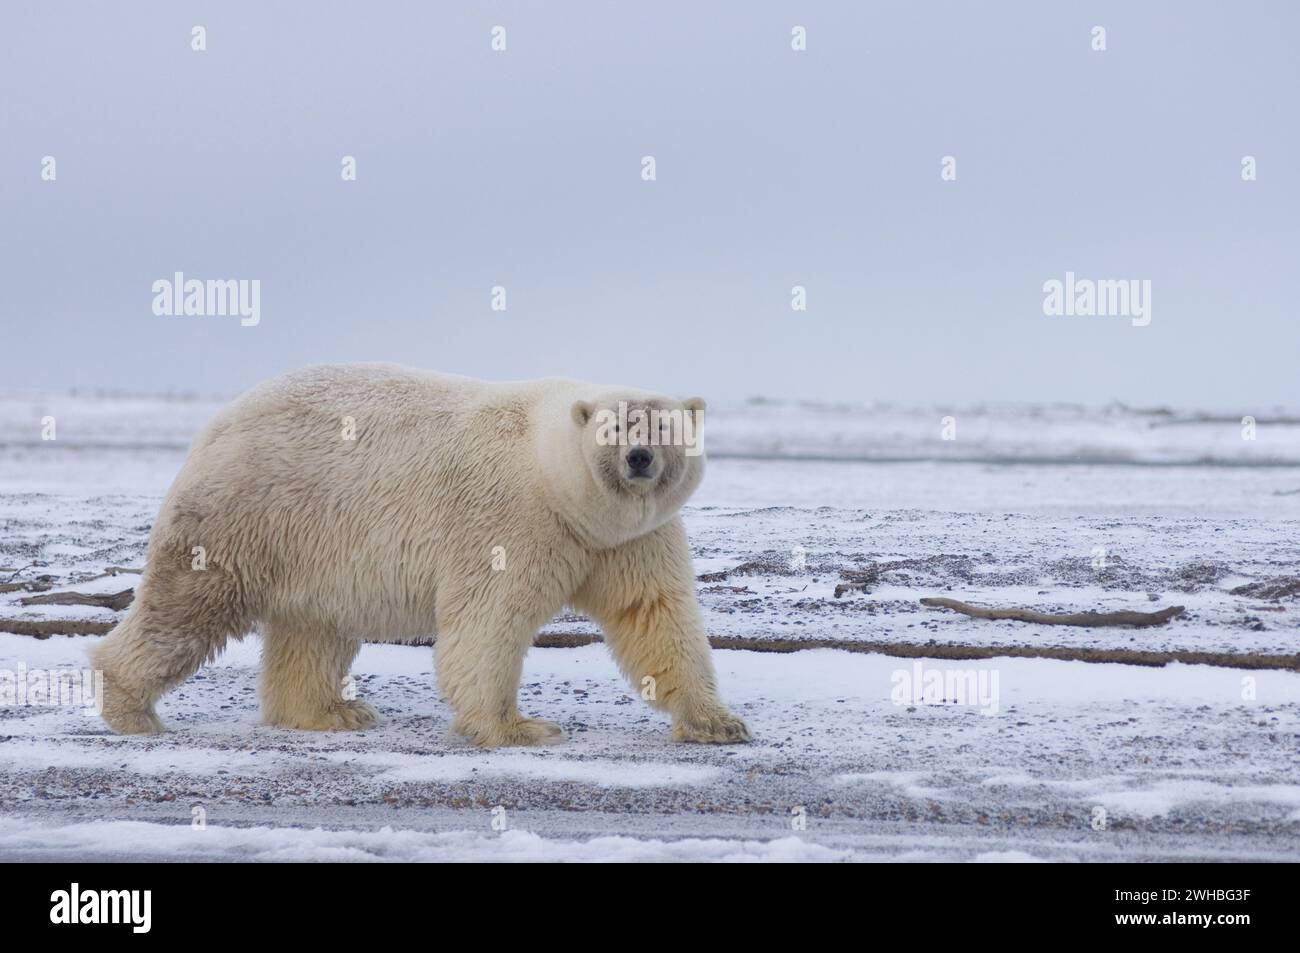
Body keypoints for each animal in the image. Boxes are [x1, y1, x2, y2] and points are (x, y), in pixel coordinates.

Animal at [90, 363, 750, 747]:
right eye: (614, 429)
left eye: (662, 428)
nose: (639, 458)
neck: (555, 479)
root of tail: (217, 423)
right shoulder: (513, 521)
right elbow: (487, 623)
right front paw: (519, 726)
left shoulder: (628, 539)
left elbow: (654, 615)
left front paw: (718, 723)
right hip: (250, 510)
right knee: (188, 606)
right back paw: (130, 709)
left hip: (313, 543)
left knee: (315, 628)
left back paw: (333, 713)